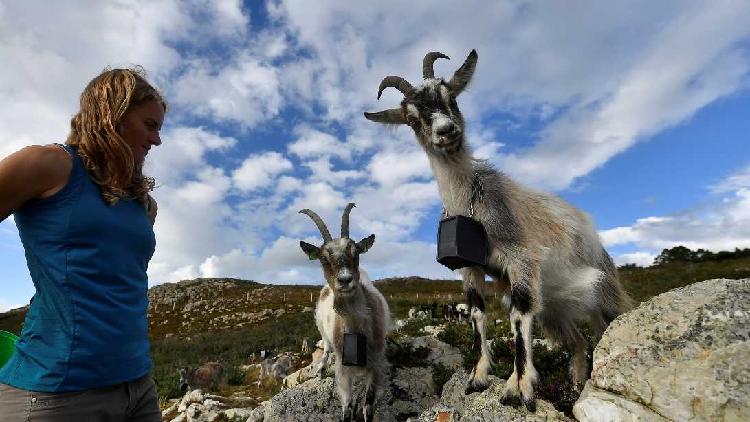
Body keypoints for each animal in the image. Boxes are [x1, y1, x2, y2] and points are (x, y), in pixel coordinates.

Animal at [299, 203, 391, 422]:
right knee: (326, 348)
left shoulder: (376, 365)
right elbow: (347, 407)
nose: (345, 280)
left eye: (356, 253)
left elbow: (368, 405)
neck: (356, 329)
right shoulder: (343, 371)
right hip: (322, 329)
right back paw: (321, 370)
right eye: (324, 259)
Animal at [365, 50, 632, 411]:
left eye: (451, 97)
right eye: (411, 118)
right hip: (554, 311)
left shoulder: (523, 260)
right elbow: (478, 316)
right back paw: (576, 387)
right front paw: (477, 377)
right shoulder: (472, 268)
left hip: (605, 296)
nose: (447, 131)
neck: (473, 204)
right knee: (579, 343)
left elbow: (518, 317)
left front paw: (517, 388)